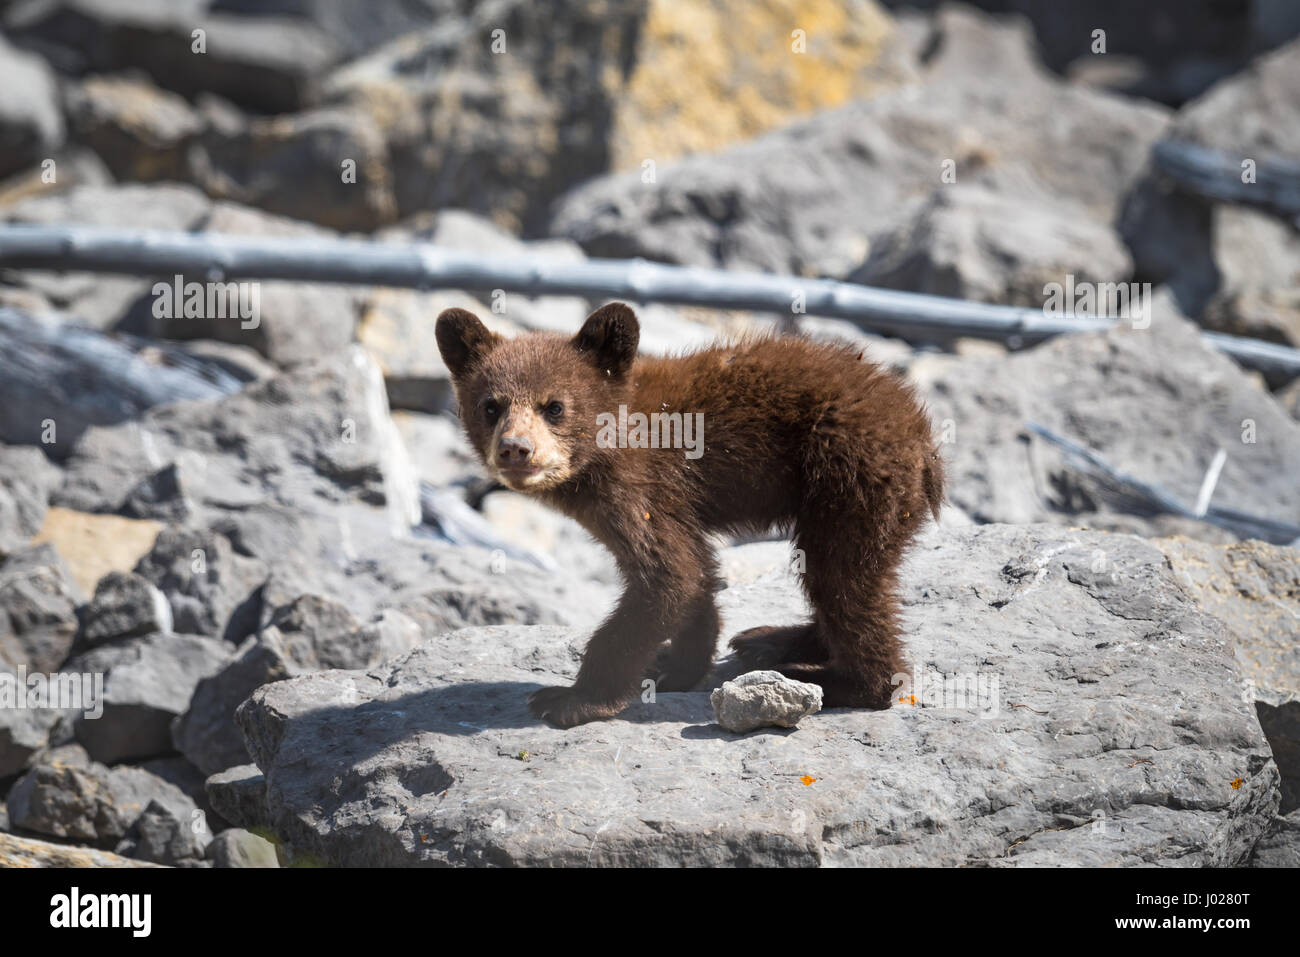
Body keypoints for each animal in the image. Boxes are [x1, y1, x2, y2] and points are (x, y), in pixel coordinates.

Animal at [436, 301, 944, 728]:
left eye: (555, 406)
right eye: (490, 406)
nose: (515, 449)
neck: (607, 442)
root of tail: (921, 434)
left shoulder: (642, 486)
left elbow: (667, 575)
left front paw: (570, 698)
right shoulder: (665, 502)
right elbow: (692, 578)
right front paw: (674, 666)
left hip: (849, 478)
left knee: (844, 577)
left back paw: (834, 678)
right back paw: (771, 639)